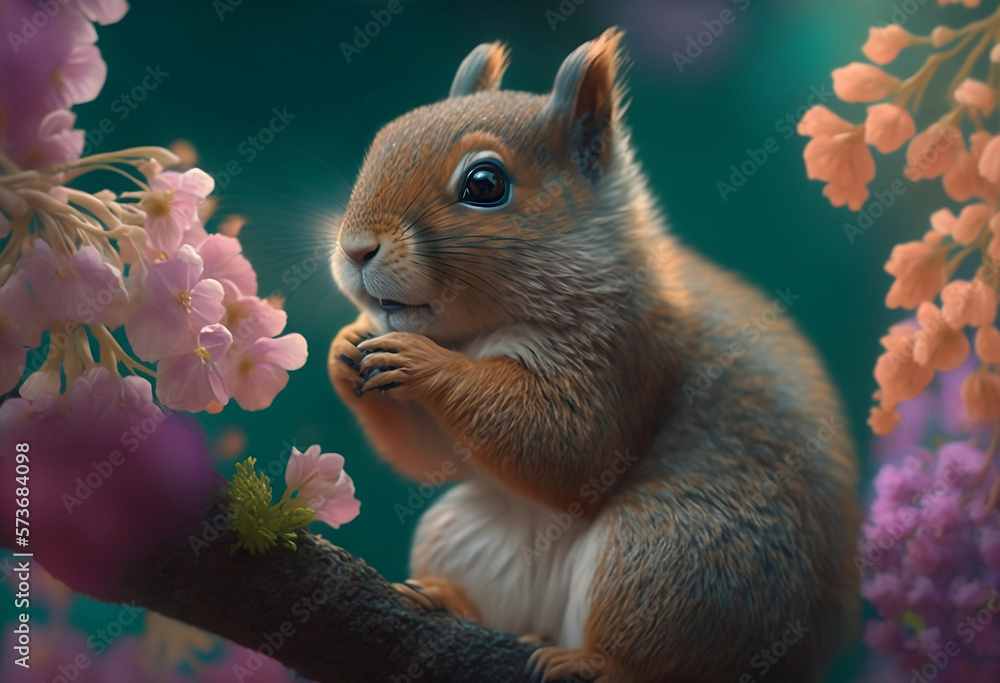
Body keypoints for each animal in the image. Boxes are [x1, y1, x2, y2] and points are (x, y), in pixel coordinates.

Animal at [328, 28, 861, 683]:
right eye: (383, 141)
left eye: (484, 185)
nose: (354, 248)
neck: (480, 332)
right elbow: (433, 456)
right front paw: (345, 345)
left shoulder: (627, 353)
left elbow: (572, 448)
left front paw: (426, 363)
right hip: (466, 536)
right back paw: (447, 597)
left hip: (668, 557)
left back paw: (595, 663)